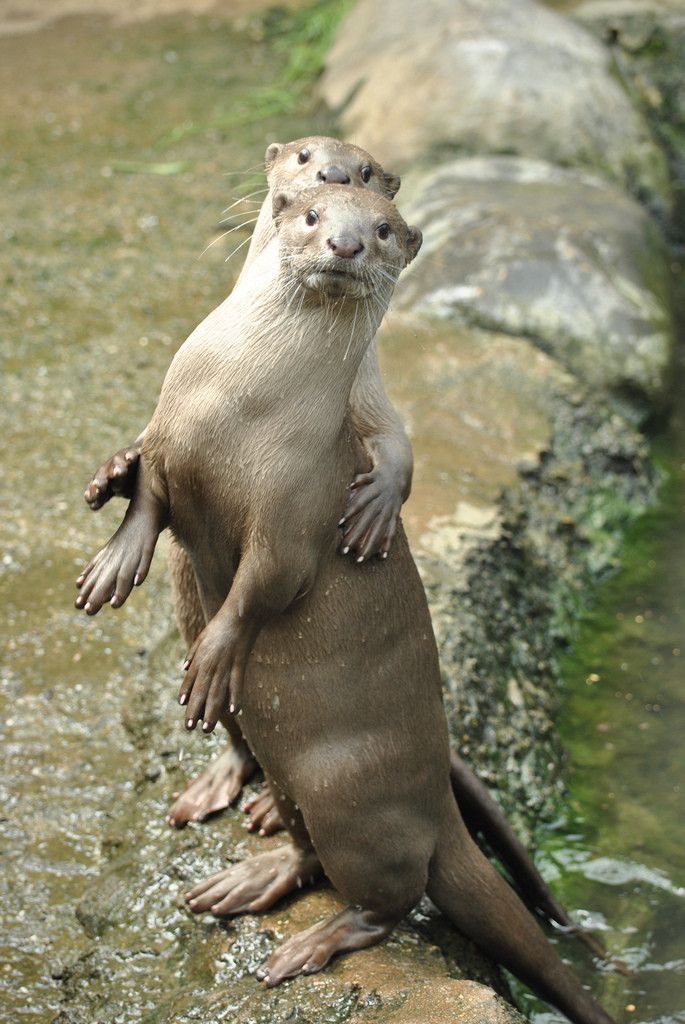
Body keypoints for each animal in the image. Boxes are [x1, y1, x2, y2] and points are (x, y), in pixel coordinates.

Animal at [76, 186, 615, 1024]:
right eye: (309, 215)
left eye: (384, 228)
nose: (346, 243)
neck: (238, 402)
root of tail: (435, 808)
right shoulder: (169, 435)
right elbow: (149, 500)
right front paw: (114, 558)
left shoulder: (296, 503)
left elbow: (267, 582)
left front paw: (212, 661)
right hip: (295, 774)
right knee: (309, 852)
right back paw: (250, 877)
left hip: (349, 797)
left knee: (389, 898)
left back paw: (311, 940)